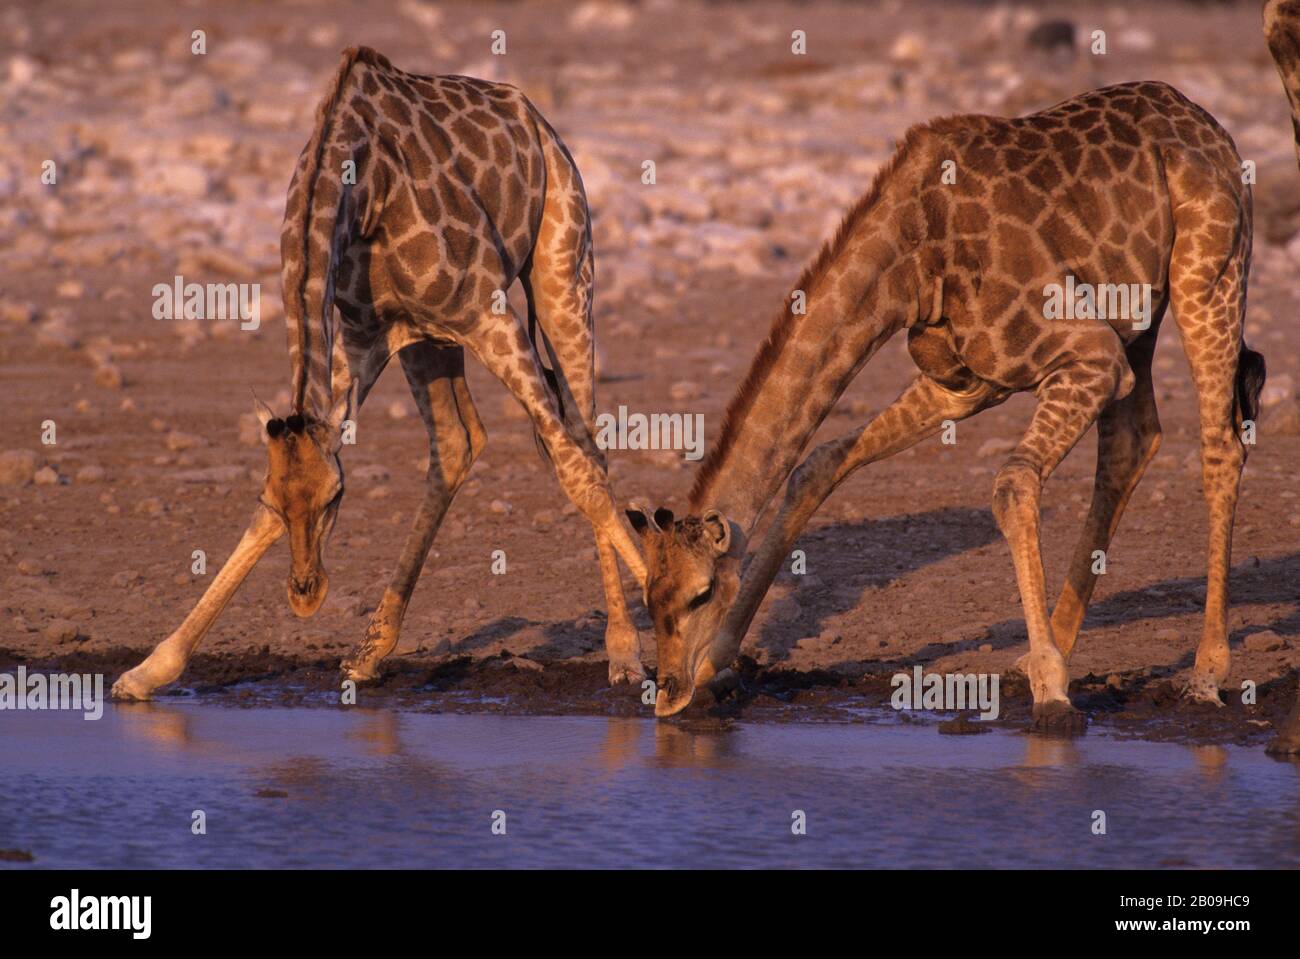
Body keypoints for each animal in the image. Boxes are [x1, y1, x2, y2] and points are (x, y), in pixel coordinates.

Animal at [112, 46, 647, 701]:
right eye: (270, 497)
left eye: (336, 498)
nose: (305, 594)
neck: (364, 190)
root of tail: (536, 119)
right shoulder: (365, 334)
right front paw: (147, 671)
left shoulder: (488, 315)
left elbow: (577, 474)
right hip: (430, 341)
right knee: (458, 444)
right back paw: (370, 652)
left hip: (564, 276)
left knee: (587, 447)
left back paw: (624, 654)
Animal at [630, 76, 1273, 731]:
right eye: (648, 598)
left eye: (701, 593)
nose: (670, 691)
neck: (910, 262)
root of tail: (1208, 125)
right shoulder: (967, 383)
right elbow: (819, 462)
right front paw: (719, 667)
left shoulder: (1087, 354)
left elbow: (1012, 485)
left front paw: (1053, 694)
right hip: (1137, 313)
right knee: (1133, 441)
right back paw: (1053, 648)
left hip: (1209, 275)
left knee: (1220, 443)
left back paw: (1204, 673)